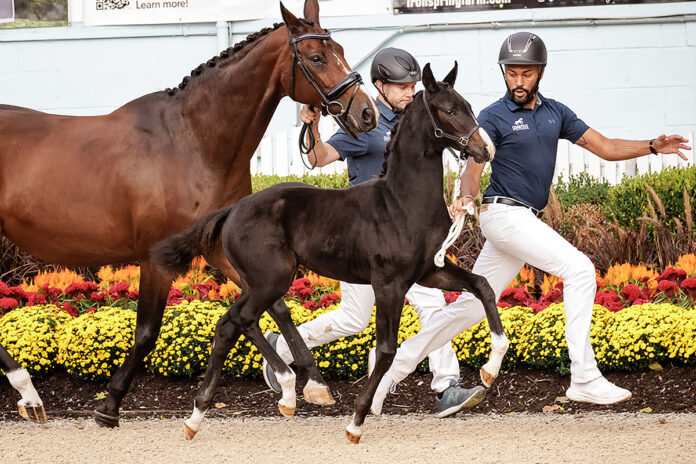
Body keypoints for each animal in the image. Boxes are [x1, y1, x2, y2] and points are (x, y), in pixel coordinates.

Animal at [0, 0, 377, 427]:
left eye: (341, 50)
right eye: (316, 57)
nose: (367, 113)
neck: (192, 142)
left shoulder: (222, 248)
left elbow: (274, 308)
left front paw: (306, 383)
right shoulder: (156, 259)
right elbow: (147, 333)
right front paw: (110, 403)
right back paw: (28, 392)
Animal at [152, 62, 510, 444]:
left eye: (468, 105)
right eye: (449, 110)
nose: (486, 149)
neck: (401, 202)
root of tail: (232, 210)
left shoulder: (431, 272)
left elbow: (483, 286)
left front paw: (490, 370)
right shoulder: (389, 284)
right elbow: (386, 350)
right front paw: (356, 421)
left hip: (260, 281)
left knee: (231, 323)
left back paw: (220, 410)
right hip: (271, 279)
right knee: (238, 320)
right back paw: (271, 394)